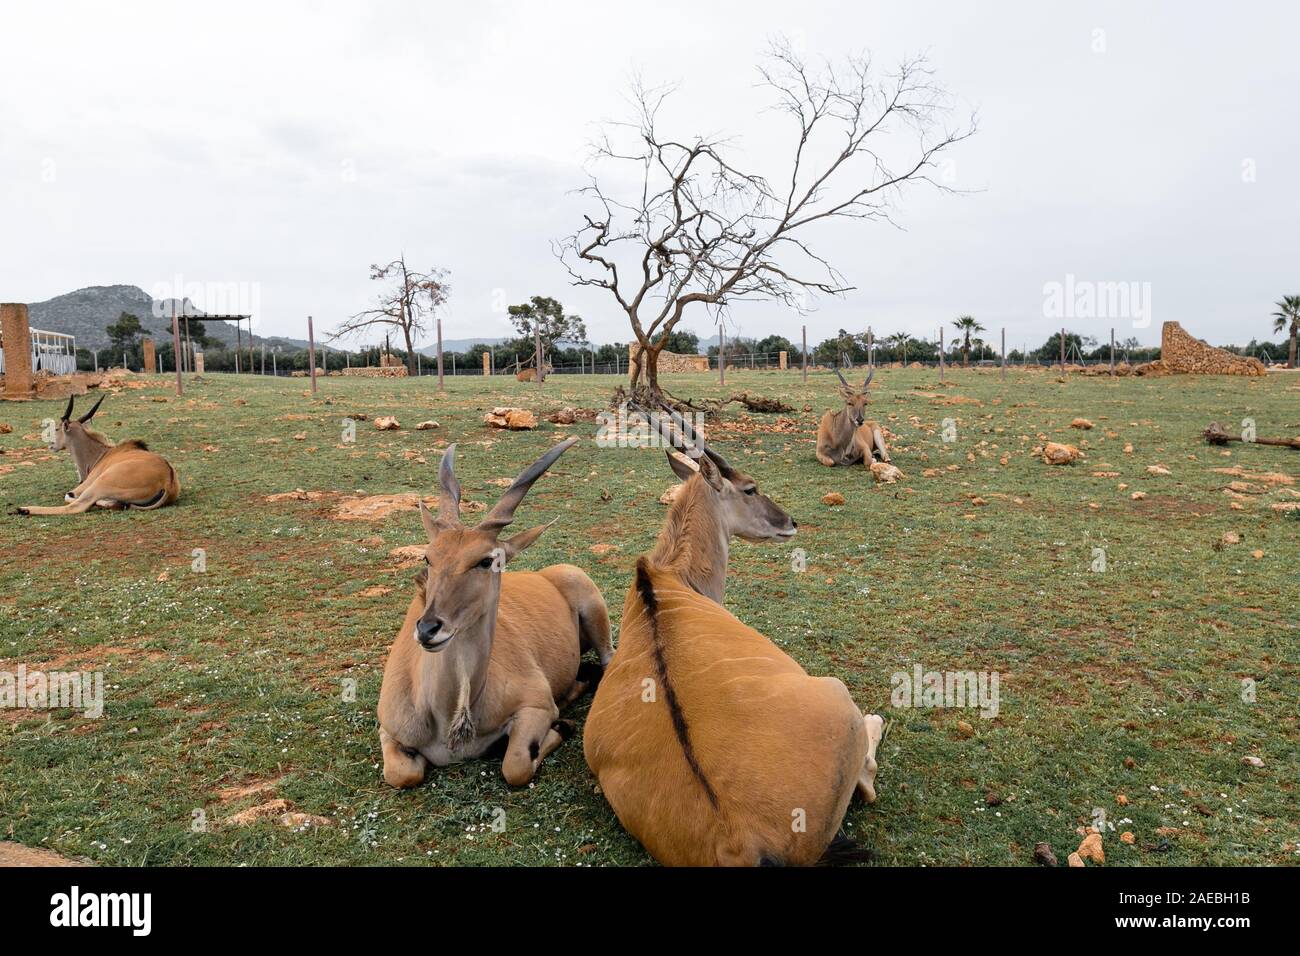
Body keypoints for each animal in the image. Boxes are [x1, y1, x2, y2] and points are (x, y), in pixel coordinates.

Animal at [13, 394, 180, 516]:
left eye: (57, 429)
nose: (51, 445)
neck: (102, 454)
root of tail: (167, 481)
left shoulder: (82, 487)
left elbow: (68, 495)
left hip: (100, 483)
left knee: (78, 506)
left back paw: (24, 509)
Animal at [377, 436, 612, 790]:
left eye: (487, 561)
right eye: (428, 557)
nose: (429, 629)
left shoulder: (536, 705)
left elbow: (515, 765)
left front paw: (561, 726)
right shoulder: (388, 729)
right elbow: (401, 773)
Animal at [583, 406, 886, 866]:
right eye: (750, 488)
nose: (790, 523)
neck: (666, 581)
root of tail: (742, 840)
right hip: (837, 693)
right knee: (867, 779)